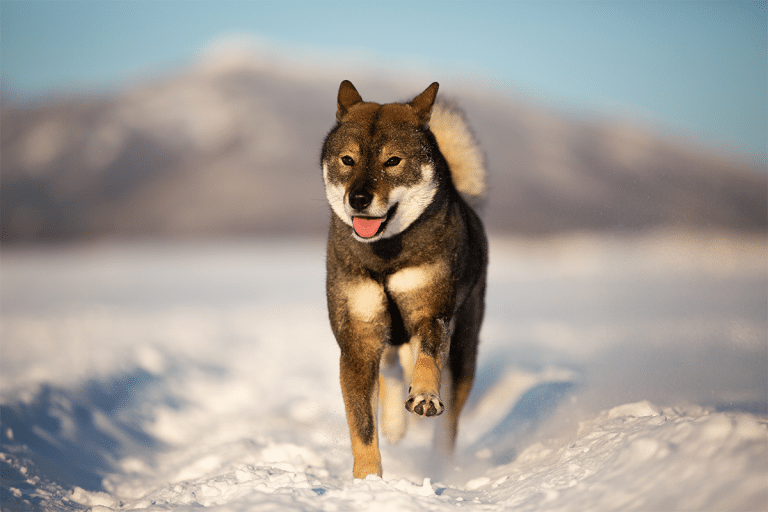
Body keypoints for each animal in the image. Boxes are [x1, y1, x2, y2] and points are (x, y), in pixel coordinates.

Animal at [322, 80, 488, 479]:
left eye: (392, 161)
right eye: (347, 160)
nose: (358, 198)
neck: (385, 255)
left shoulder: (432, 312)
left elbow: (427, 358)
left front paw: (425, 396)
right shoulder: (358, 338)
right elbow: (362, 425)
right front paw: (368, 480)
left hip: (464, 344)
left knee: (448, 416)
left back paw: (439, 460)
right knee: (391, 371)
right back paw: (396, 423)